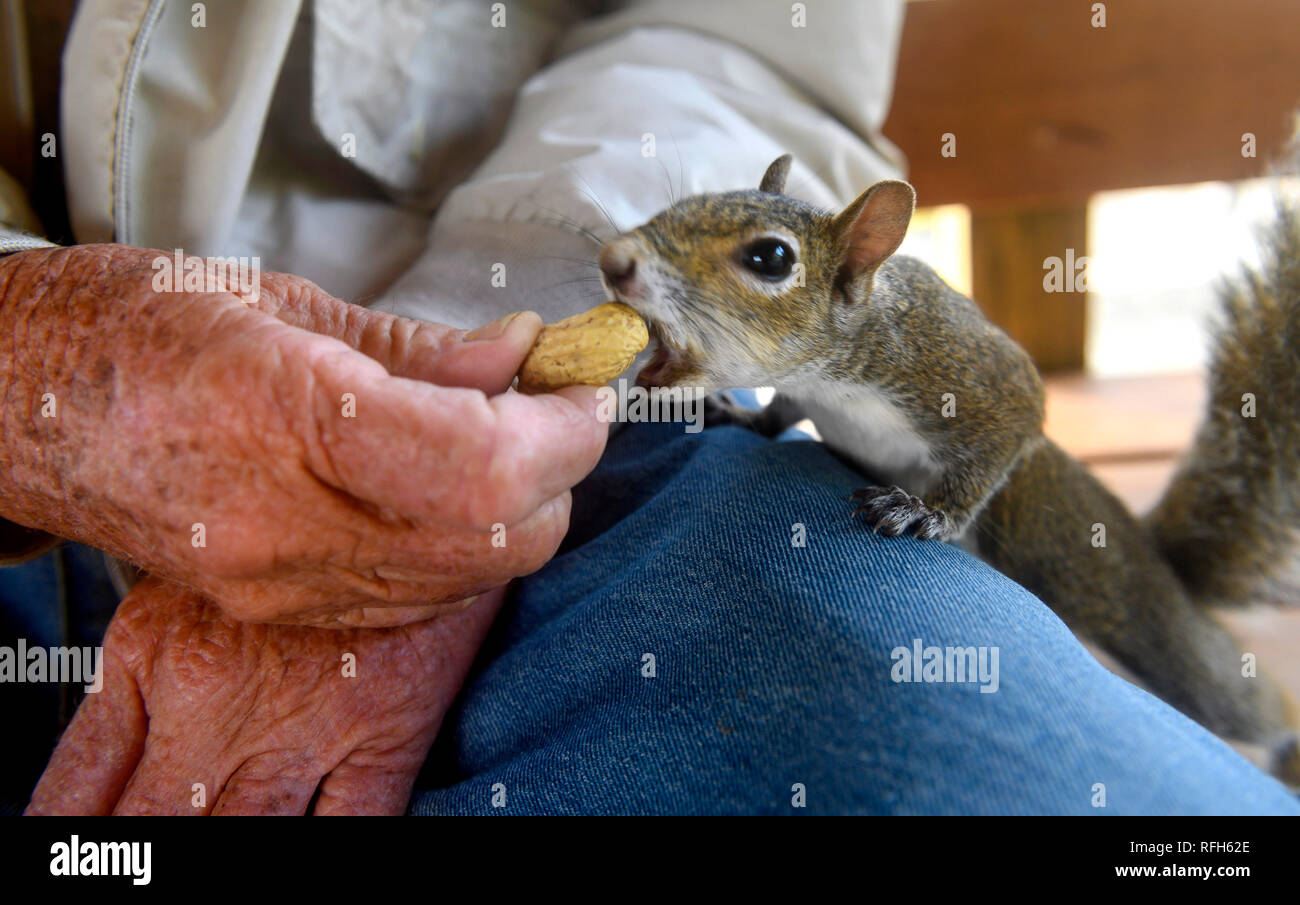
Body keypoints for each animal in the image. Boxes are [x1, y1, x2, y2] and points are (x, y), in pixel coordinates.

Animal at [597, 152, 1300, 784]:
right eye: (689, 200)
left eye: (771, 258)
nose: (613, 262)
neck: (833, 373)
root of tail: (1156, 555)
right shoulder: (803, 394)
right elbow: (779, 413)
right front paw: (745, 419)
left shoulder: (966, 372)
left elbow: (1007, 427)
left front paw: (925, 513)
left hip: (1120, 598)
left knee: (1240, 700)